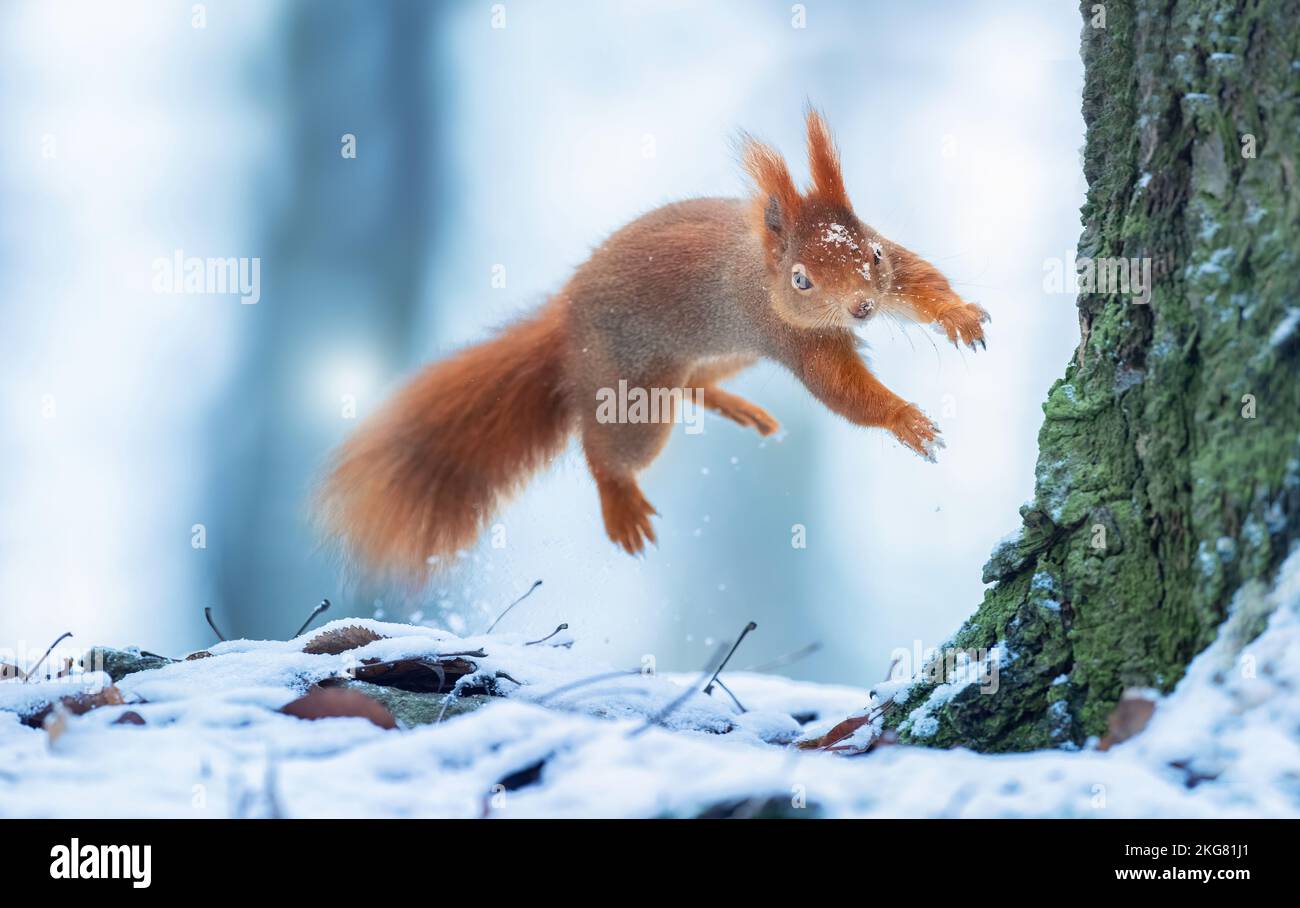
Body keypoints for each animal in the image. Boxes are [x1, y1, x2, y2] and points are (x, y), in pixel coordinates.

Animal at [318, 110, 988, 576]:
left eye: (869, 253)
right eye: (802, 279)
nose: (863, 308)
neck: (762, 266)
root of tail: (566, 314)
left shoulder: (888, 269)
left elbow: (922, 281)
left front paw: (959, 316)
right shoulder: (789, 335)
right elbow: (844, 393)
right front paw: (906, 421)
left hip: (728, 350)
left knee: (694, 382)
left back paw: (735, 405)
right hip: (634, 389)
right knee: (606, 447)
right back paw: (620, 501)